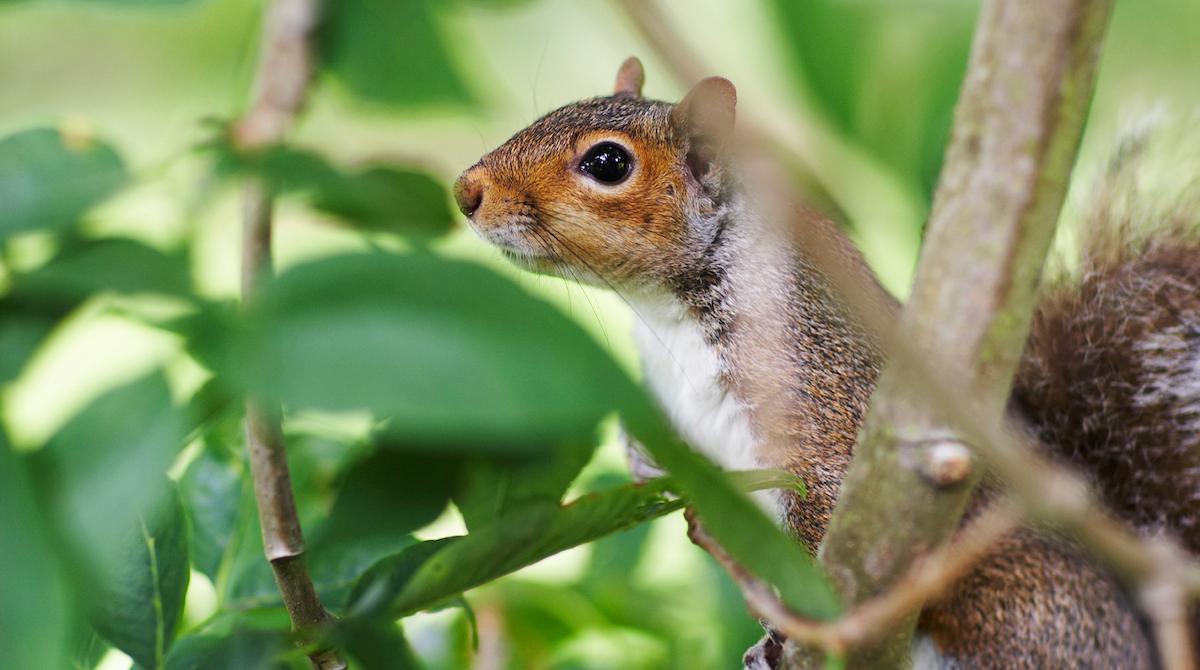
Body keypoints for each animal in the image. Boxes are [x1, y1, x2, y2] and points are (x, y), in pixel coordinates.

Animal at [453, 57, 1200, 669]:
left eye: (608, 164)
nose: (465, 190)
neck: (666, 311)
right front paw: (641, 455)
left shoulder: (823, 389)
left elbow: (824, 506)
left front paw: (787, 632)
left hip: (1021, 613)